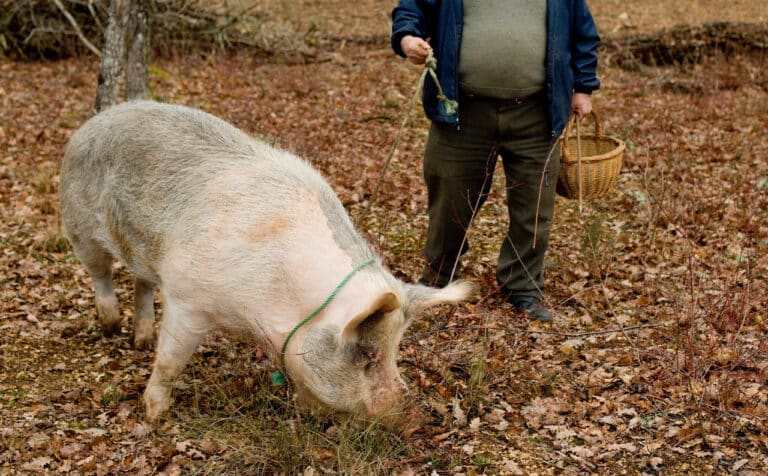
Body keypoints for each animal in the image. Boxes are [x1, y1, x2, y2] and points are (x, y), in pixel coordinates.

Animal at [59, 100, 471, 422]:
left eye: (396, 350)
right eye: (367, 353)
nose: (411, 420)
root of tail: (98, 118)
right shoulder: (188, 298)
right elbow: (171, 360)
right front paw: (155, 416)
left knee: (141, 282)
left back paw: (141, 340)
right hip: (79, 226)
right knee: (101, 275)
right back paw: (111, 326)